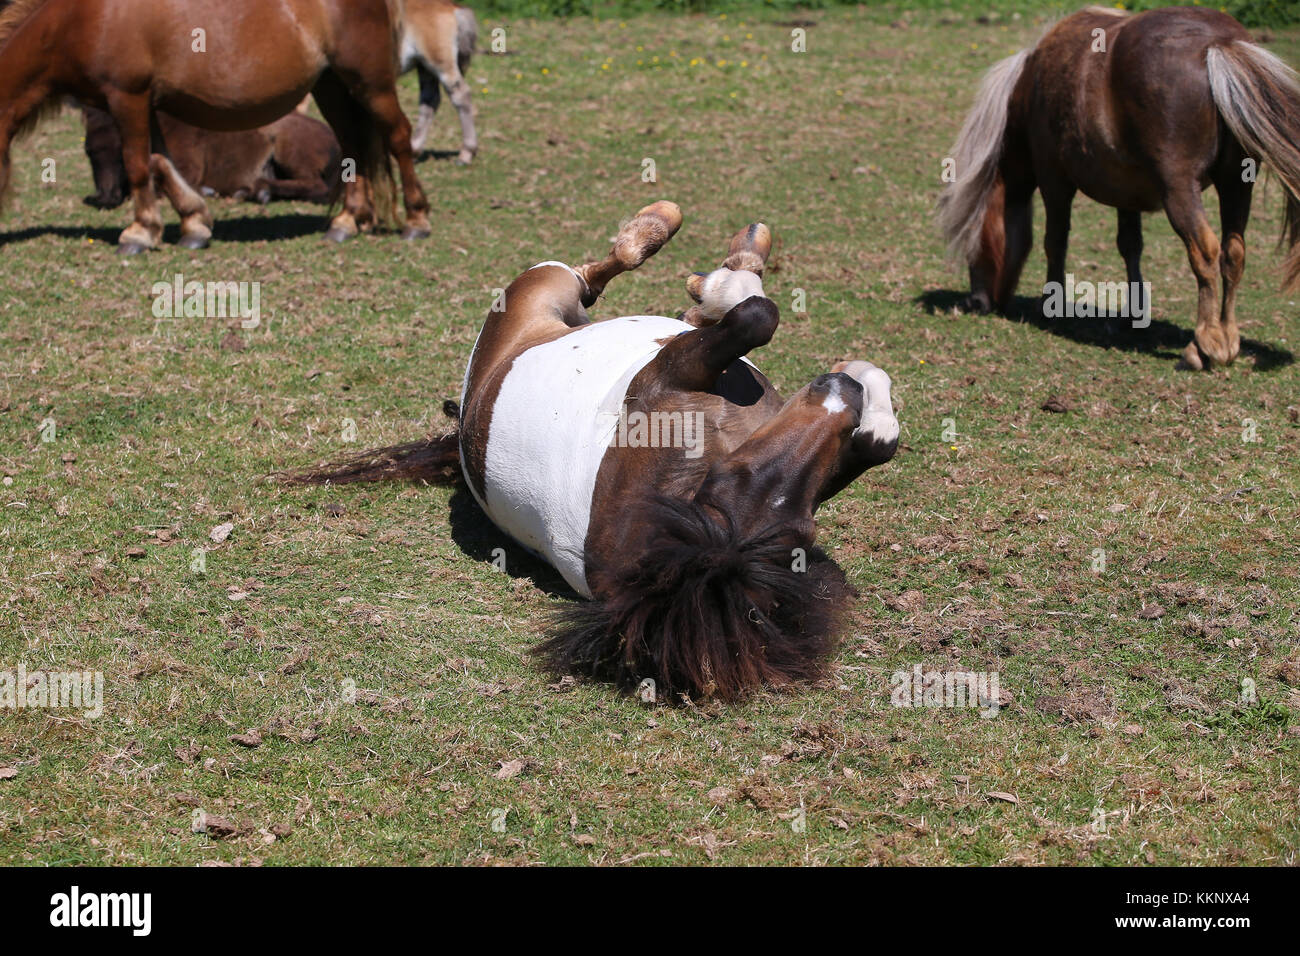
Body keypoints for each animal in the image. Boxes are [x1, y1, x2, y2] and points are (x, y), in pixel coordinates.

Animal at [82, 107, 340, 209]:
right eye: (88, 151)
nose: (106, 198)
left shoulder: (187, 168)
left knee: (319, 186)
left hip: (291, 151)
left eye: (122, 149)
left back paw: (260, 190)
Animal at [289, 202, 900, 702]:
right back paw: (685, 239)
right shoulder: (669, 371)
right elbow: (756, 317)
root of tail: (468, 411)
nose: (839, 390)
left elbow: (875, 441)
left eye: (804, 528)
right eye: (736, 474)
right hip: (541, 287)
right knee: (600, 273)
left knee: (617, 286)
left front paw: (869, 397)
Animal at [401, 0, 478, 165]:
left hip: (439, 63)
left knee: (460, 95)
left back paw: (466, 153)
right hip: (424, 66)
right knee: (430, 100)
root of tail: (452, 7)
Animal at [938, 6, 1300, 370]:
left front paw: (1051, 305)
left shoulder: (1054, 181)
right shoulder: (1127, 195)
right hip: (1237, 185)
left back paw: (1206, 345)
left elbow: (1055, 241)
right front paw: (1134, 313)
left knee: (1206, 251)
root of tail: (1219, 44)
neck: (1031, 86)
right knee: (1234, 253)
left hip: (1180, 190)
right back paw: (1228, 339)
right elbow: (1130, 246)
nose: (976, 301)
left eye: (973, 242)